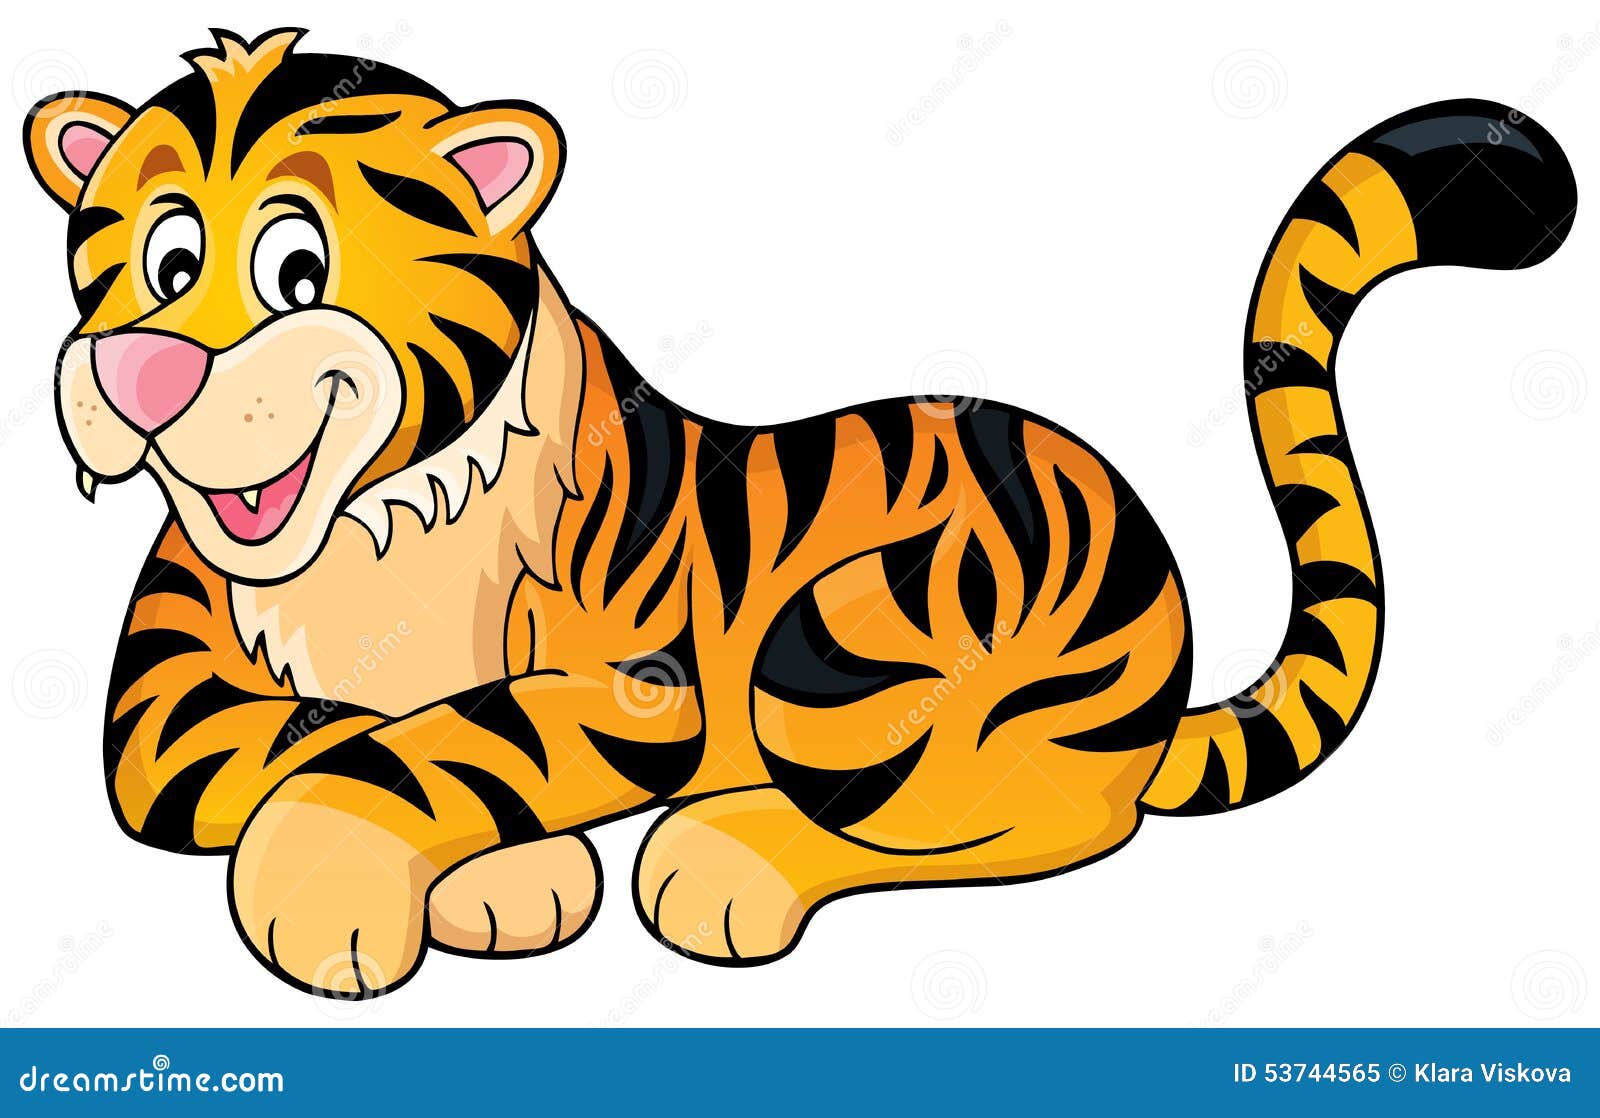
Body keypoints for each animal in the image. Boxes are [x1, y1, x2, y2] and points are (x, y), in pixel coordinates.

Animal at [21, 29, 1576, 998]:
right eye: (160, 259)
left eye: (297, 266)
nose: (138, 372)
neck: (371, 529)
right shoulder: (162, 701)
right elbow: (338, 725)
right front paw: (506, 878)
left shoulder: (641, 687)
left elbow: (431, 738)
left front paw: (338, 884)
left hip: (845, 635)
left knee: (1028, 826)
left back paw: (724, 861)